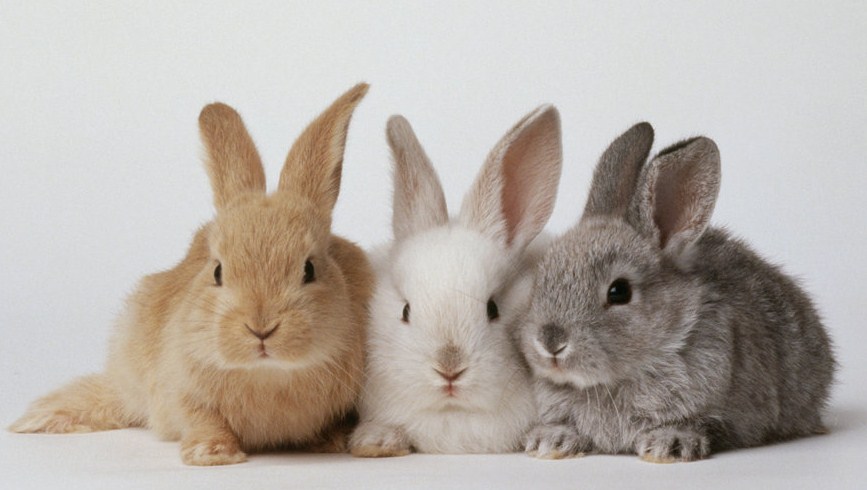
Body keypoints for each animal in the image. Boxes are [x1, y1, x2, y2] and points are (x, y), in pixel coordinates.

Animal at [9, 83, 374, 466]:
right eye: (217, 271)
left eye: (309, 269)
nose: (261, 328)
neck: (267, 374)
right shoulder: (181, 388)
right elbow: (202, 418)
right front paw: (211, 454)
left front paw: (330, 441)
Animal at [519, 122, 835, 463]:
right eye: (542, 277)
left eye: (619, 292)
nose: (550, 341)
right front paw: (550, 441)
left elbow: (696, 423)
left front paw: (668, 445)